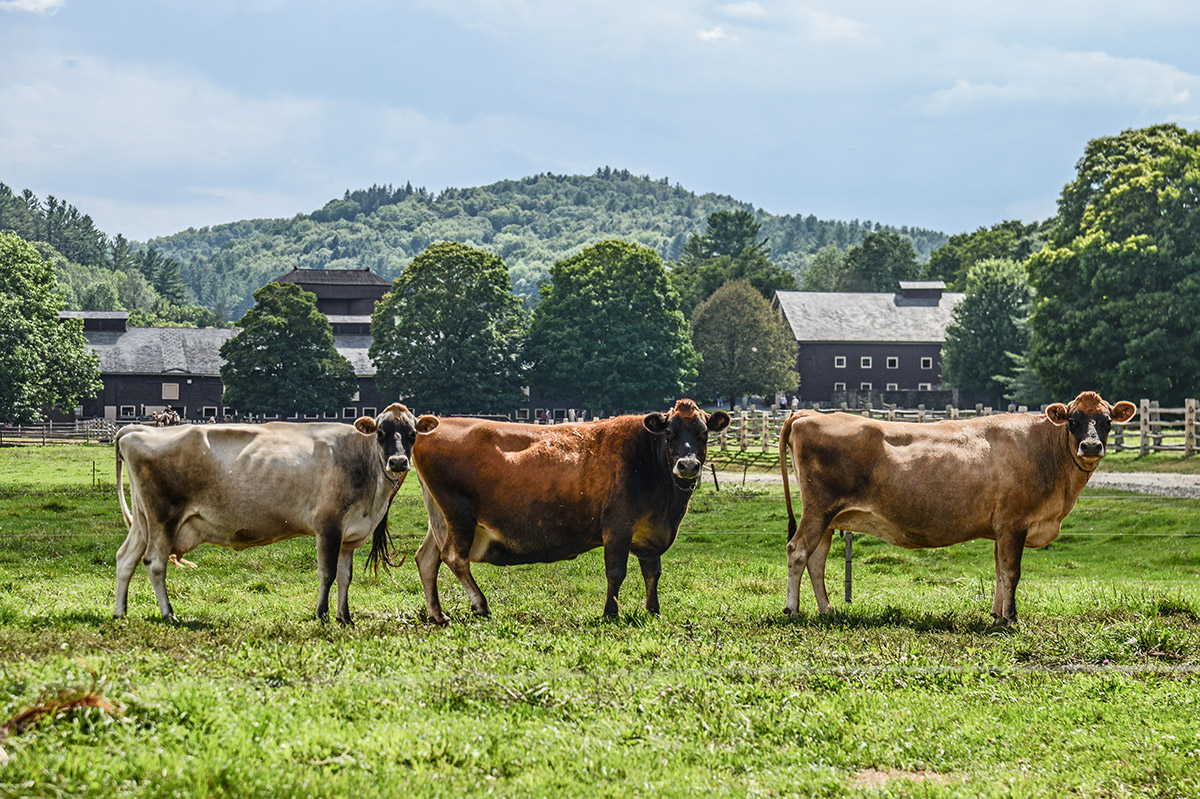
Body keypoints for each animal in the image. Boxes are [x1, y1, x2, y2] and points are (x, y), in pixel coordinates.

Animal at [113, 403, 418, 624]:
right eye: (380, 433)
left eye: (413, 434)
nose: (398, 462)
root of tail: (135, 430)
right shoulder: (328, 525)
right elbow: (327, 573)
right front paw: (322, 615)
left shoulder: (350, 535)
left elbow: (346, 577)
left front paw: (346, 618)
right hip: (164, 516)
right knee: (155, 562)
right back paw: (168, 613)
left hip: (143, 522)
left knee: (125, 558)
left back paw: (120, 611)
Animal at [410, 399, 731, 623]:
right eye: (670, 432)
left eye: (704, 433)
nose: (687, 465)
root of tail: (433, 427)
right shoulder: (617, 528)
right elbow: (616, 572)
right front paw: (610, 613)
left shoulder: (650, 532)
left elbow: (652, 573)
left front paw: (654, 610)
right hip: (458, 514)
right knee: (455, 558)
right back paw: (480, 604)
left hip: (439, 518)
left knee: (427, 559)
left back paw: (437, 614)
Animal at [779, 391, 1136, 624]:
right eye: (1073, 420)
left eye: (1106, 420)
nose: (1091, 446)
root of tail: (809, 414)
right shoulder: (1014, 523)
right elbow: (1012, 571)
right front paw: (1011, 618)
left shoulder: (1000, 527)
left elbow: (999, 571)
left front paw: (997, 615)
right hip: (819, 510)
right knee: (798, 551)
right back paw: (792, 610)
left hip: (828, 517)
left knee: (816, 560)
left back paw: (827, 610)